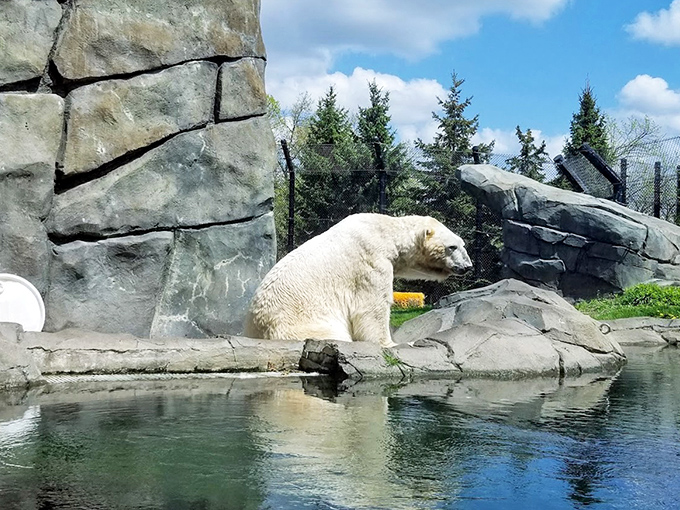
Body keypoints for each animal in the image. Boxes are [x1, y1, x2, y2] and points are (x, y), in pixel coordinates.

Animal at [244, 213, 472, 347]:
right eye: (452, 247)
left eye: (463, 244)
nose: (468, 266)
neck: (385, 232)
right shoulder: (371, 261)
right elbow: (372, 308)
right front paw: (390, 343)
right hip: (302, 325)